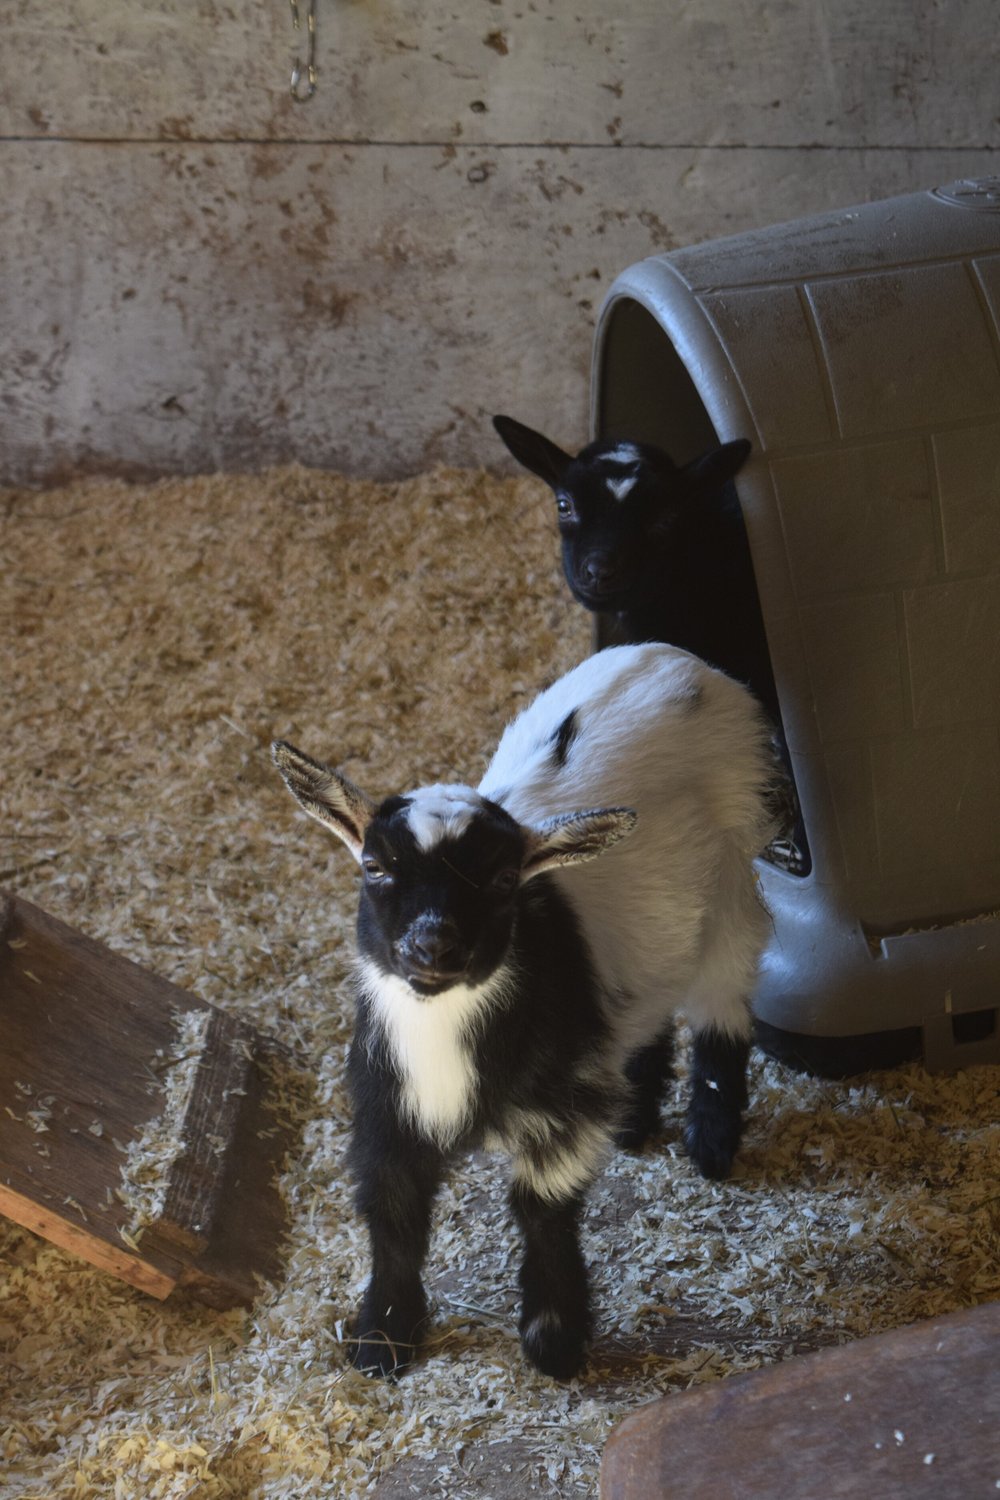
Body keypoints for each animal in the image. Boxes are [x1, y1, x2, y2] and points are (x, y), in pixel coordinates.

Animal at [272, 643, 779, 1381]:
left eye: (507, 880)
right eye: (374, 866)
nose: (433, 945)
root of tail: (672, 656)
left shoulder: (559, 1111)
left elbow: (543, 1210)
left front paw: (554, 1337)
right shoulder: (385, 1102)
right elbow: (393, 1215)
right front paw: (383, 1337)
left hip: (734, 883)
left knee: (723, 1006)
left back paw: (711, 1141)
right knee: (649, 1009)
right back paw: (635, 1119)